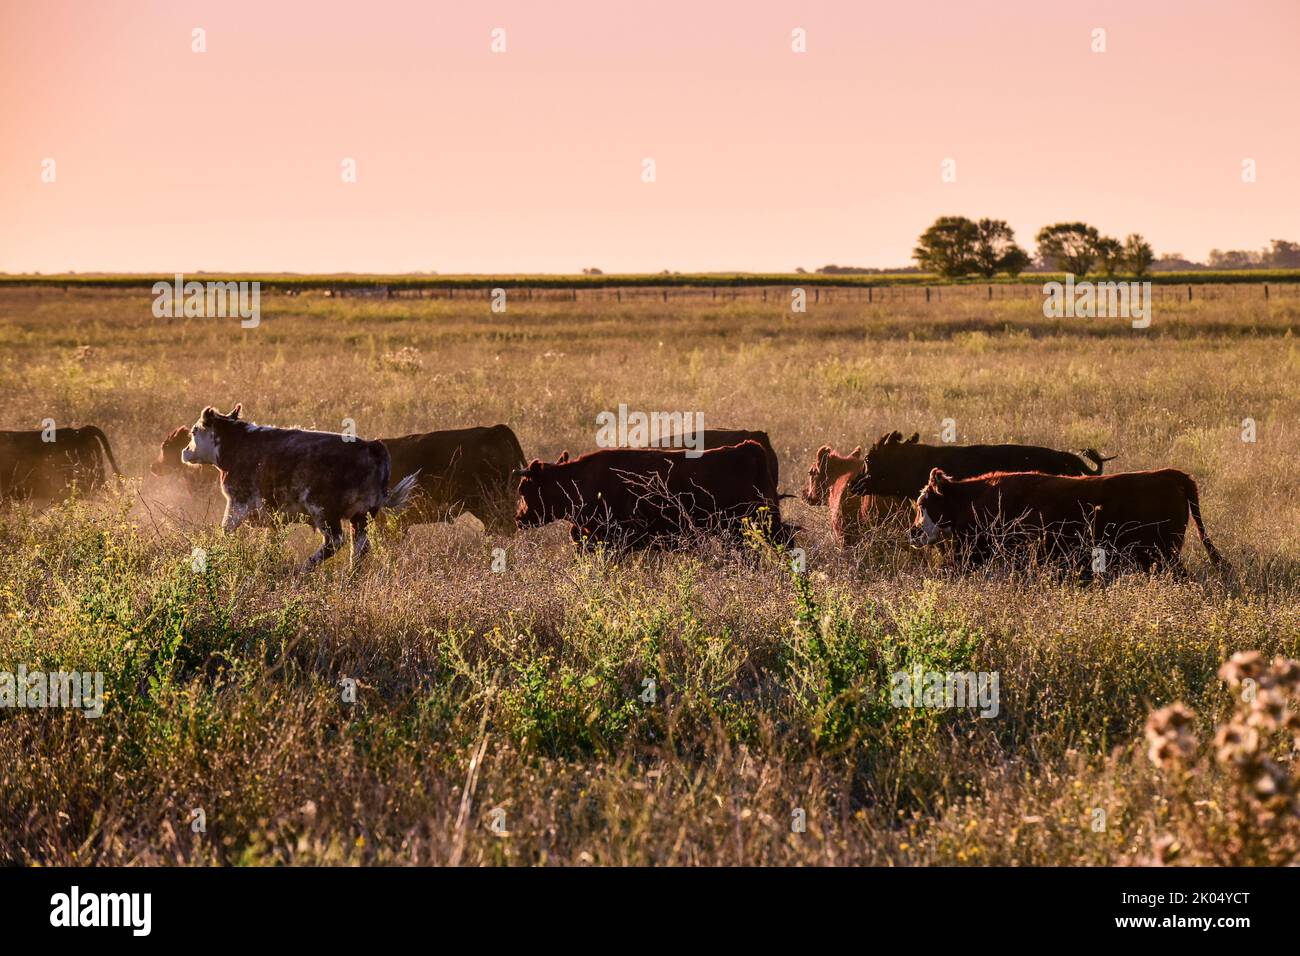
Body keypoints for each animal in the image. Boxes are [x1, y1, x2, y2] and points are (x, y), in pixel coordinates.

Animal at [180, 404, 419, 568]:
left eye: (194, 431)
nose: (185, 451)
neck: (236, 443)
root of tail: (371, 447)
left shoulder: (237, 503)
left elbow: (226, 530)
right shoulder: (273, 514)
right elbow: (271, 539)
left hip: (323, 511)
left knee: (335, 542)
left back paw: (304, 568)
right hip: (362, 516)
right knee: (359, 547)